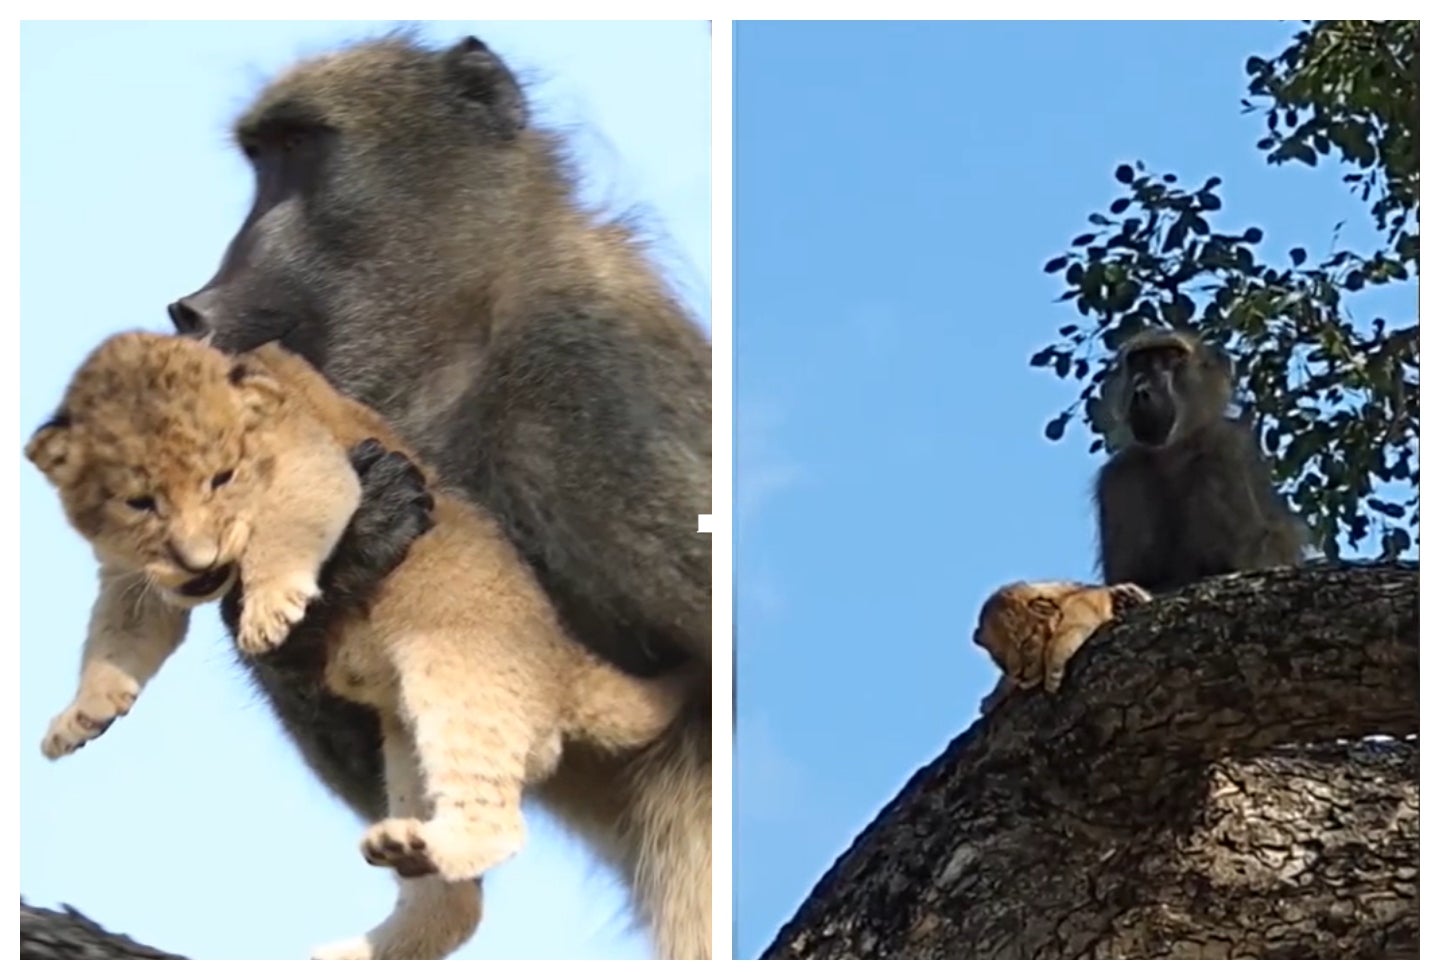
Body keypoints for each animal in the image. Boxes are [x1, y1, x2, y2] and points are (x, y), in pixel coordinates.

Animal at [25, 330, 694, 959]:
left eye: (222, 479)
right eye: (140, 502)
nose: (200, 560)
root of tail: (563, 660)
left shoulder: (315, 465)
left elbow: (286, 529)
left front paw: (270, 610)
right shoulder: (136, 575)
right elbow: (120, 633)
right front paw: (81, 716)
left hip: (454, 679)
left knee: (500, 825)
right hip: (406, 750)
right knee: (455, 905)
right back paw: (375, 909)